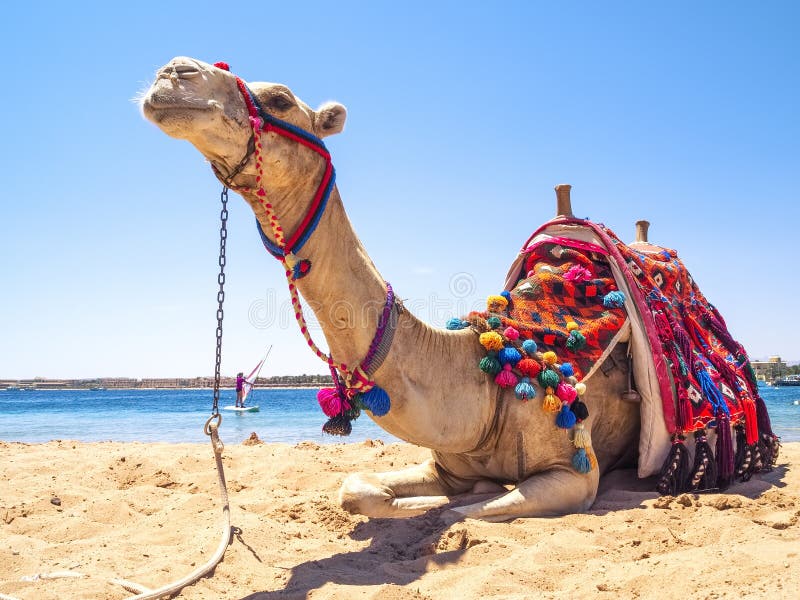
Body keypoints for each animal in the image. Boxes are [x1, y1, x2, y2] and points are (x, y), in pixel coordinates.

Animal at [141, 57, 777, 521]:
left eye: (276, 98)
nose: (172, 74)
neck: (485, 375)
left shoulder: (575, 473)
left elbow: (473, 510)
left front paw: (456, 504)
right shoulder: (445, 460)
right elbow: (358, 489)